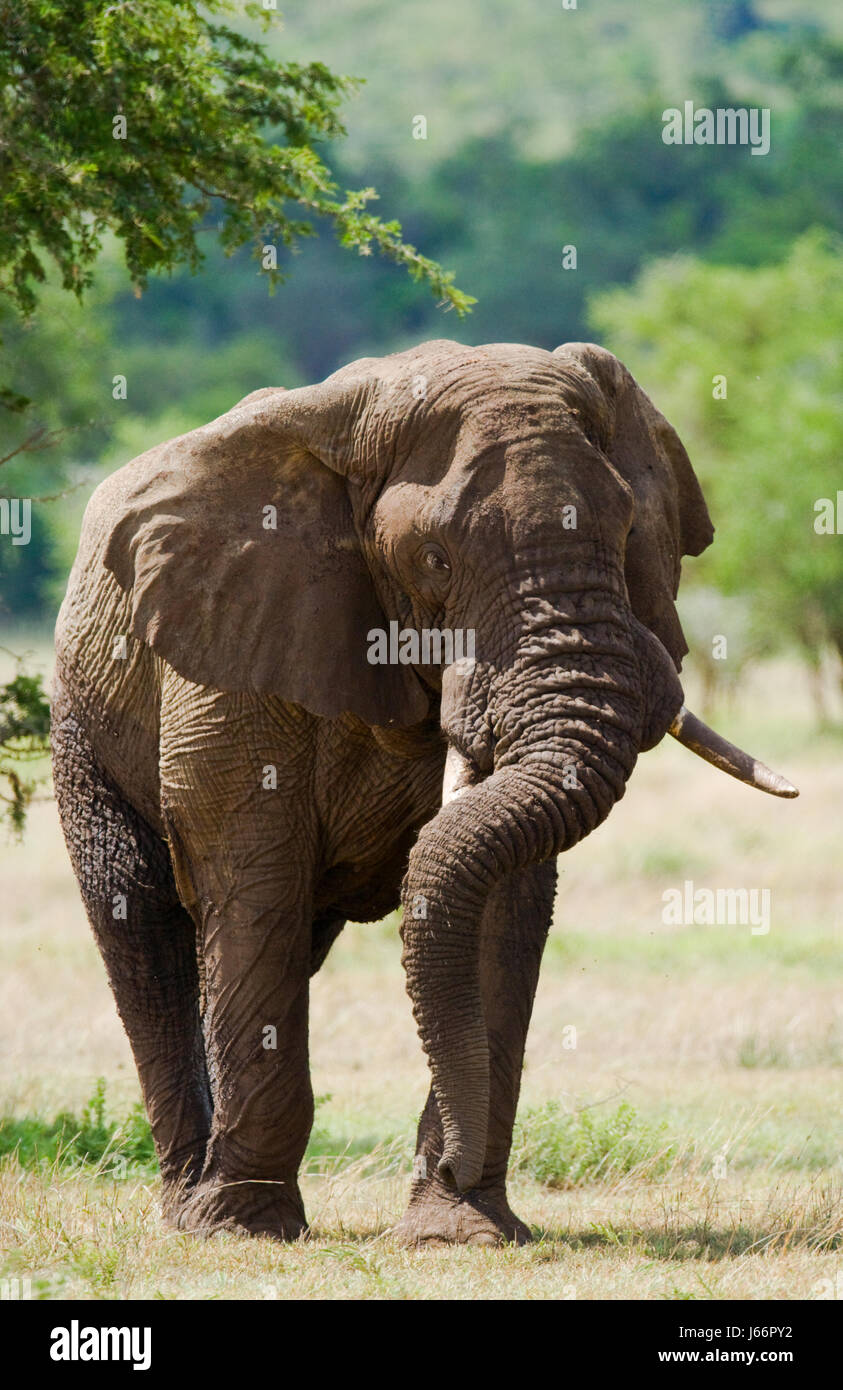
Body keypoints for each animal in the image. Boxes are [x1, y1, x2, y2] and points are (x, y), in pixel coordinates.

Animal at [51, 339, 797, 1246]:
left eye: (627, 532)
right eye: (434, 560)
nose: (453, 1166)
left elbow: (498, 896)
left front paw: (457, 1228)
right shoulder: (229, 645)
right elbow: (253, 878)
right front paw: (243, 1229)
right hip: (82, 718)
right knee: (144, 923)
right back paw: (188, 1207)